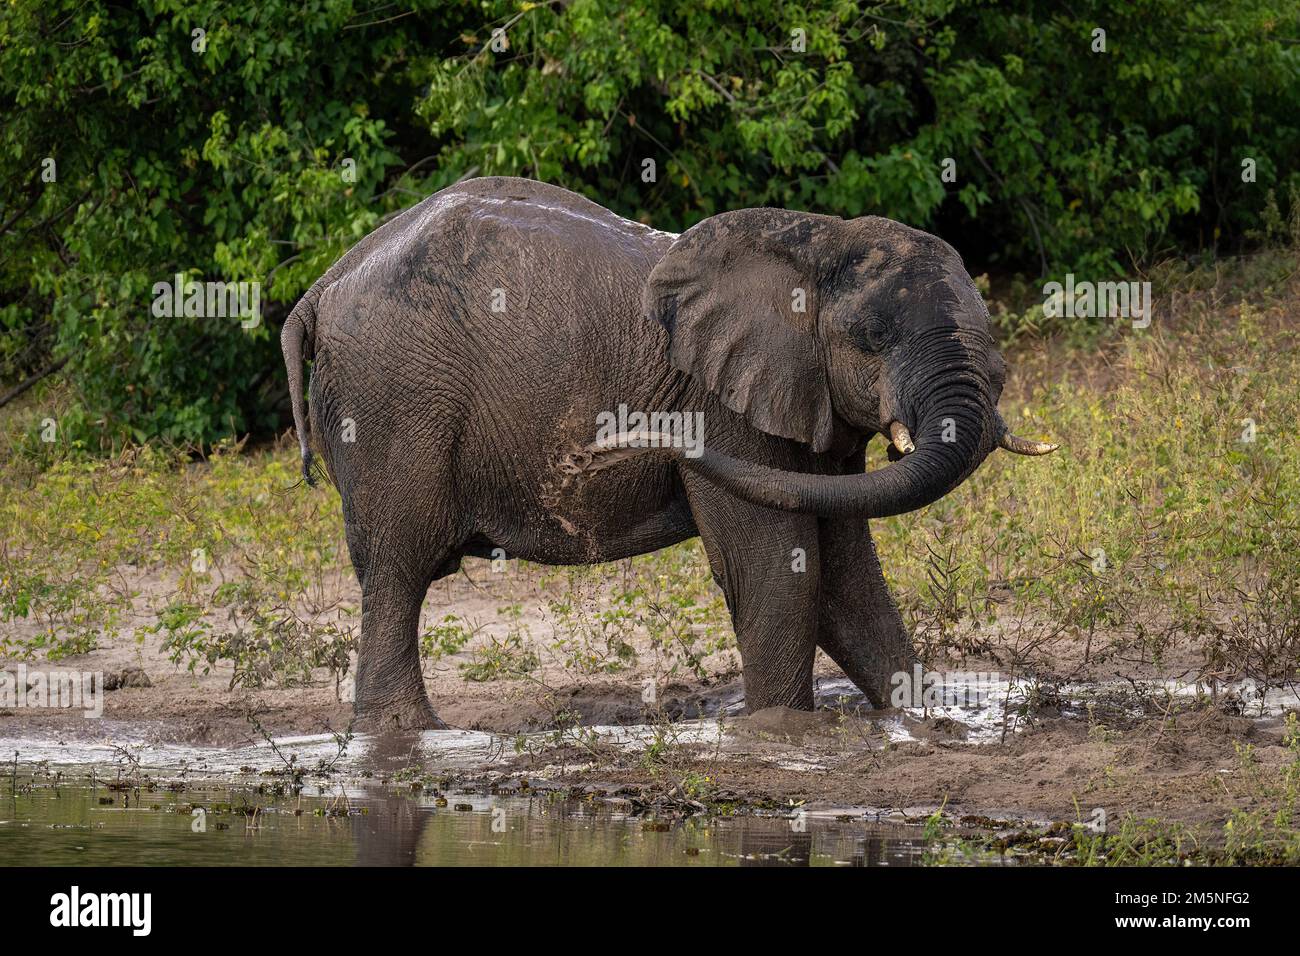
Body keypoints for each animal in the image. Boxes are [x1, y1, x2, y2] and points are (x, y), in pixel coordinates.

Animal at [280, 176, 1056, 731]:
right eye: (869, 339)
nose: (599, 447)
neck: (816, 239)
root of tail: (318, 289)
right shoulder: (721, 404)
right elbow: (774, 561)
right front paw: (780, 733)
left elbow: (843, 568)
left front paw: (926, 716)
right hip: (396, 403)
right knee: (399, 567)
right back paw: (411, 735)